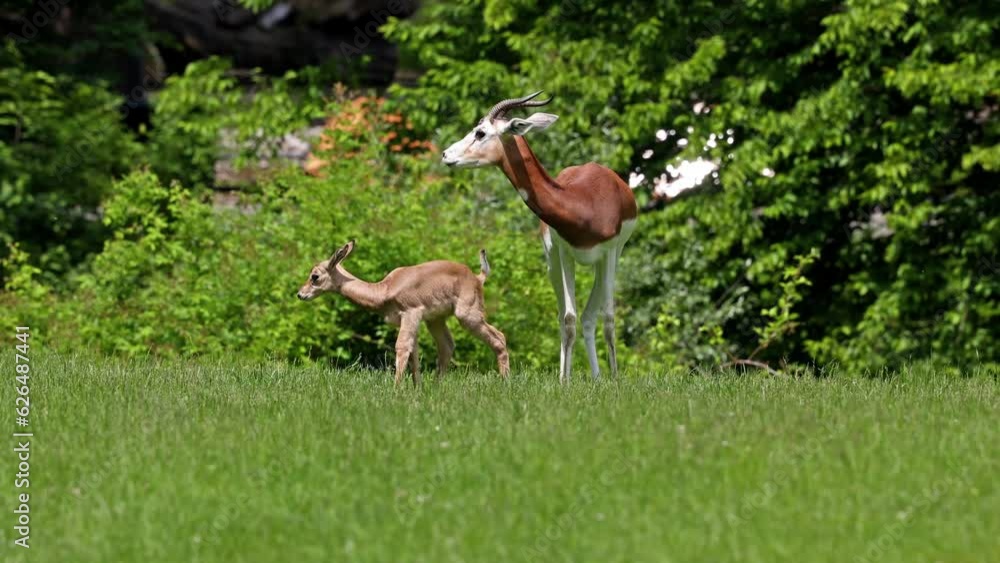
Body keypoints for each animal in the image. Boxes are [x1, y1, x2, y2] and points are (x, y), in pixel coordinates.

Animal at [296, 241, 510, 385]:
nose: (300, 294)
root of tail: (477, 277)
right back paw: (436, 386)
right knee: (447, 346)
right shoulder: (411, 321)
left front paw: (396, 389)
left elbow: (401, 347)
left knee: (499, 337)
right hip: (436, 321)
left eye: (314, 276)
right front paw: (417, 388)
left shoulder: (410, 314)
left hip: (467, 316)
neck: (385, 289)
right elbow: (414, 352)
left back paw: (504, 383)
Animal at [442, 92, 637, 383]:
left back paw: (599, 377)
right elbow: (568, 318)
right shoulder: (564, 252)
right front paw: (564, 382)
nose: (445, 154)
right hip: (553, 262)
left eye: (480, 132)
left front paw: (614, 380)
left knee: (591, 315)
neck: (582, 203)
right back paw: (585, 376)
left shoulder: (611, 251)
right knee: (570, 316)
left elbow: (610, 318)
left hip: (604, 262)